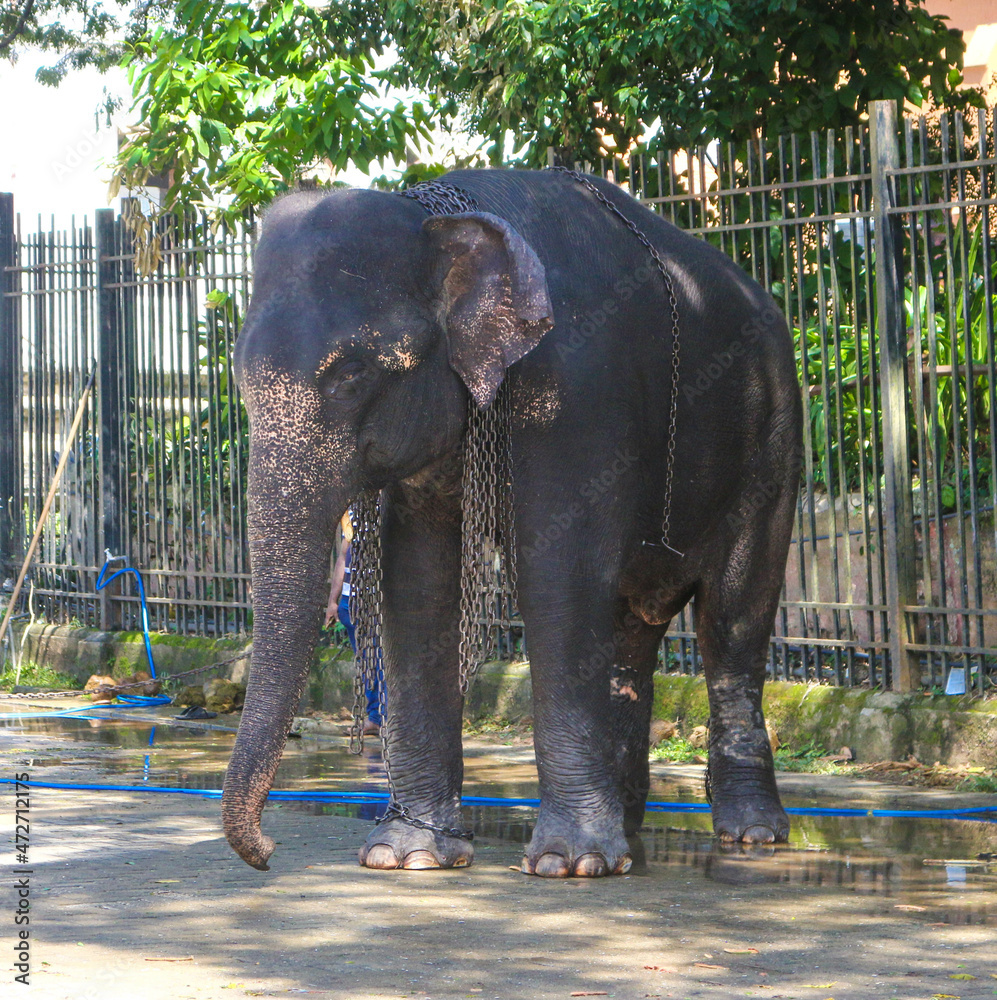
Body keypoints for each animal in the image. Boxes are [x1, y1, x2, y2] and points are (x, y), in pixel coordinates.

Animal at [223, 167, 803, 878]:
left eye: (353, 370)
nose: (268, 852)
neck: (438, 214)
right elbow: (418, 582)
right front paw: (408, 855)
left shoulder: (578, 386)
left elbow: (560, 571)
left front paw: (569, 864)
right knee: (629, 631)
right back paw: (628, 827)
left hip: (772, 435)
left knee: (734, 615)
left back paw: (750, 835)